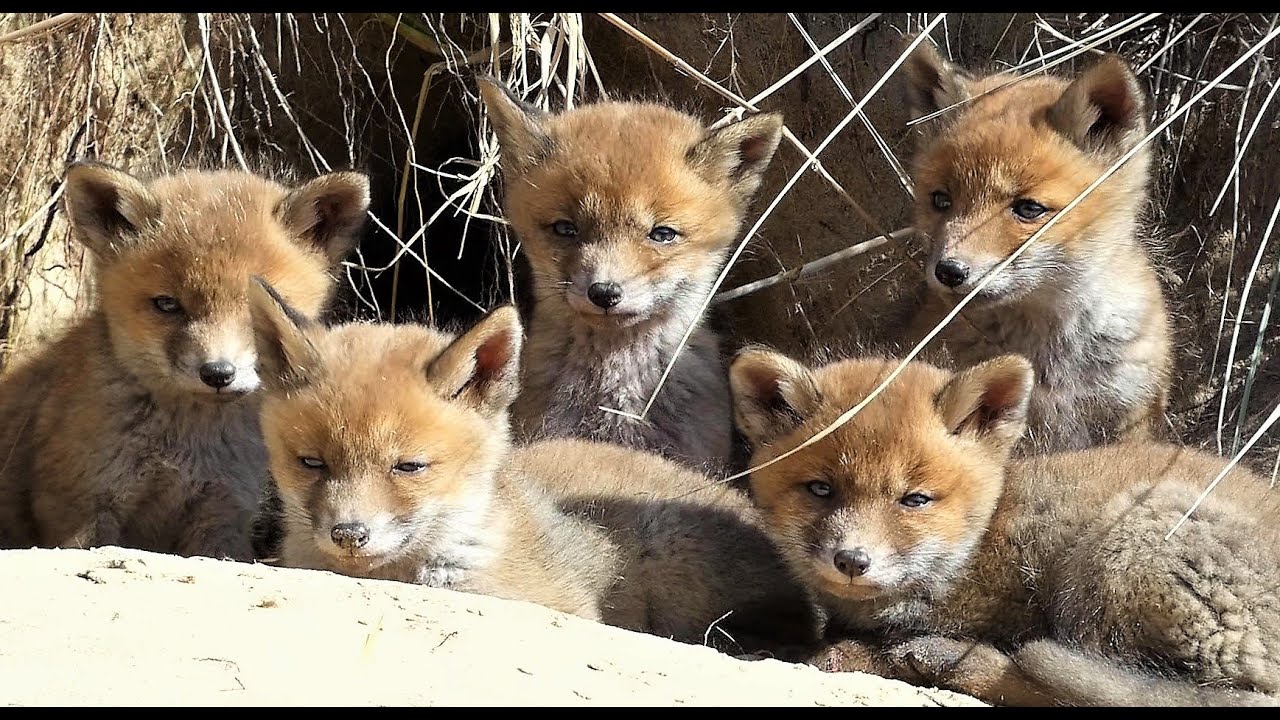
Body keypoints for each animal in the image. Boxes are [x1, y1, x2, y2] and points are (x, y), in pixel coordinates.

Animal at [0, 162, 369, 560]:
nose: (218, 373)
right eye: (167, 305)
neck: (187, 446)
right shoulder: (83, 505)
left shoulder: (222, 512)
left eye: (255, 303)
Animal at [728, 348, 1280, 706]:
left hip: (1125, 542)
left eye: (915, 499)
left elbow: (840, 654)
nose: (852, 560)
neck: (980, 542)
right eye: (821, 489)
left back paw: (944, 659)